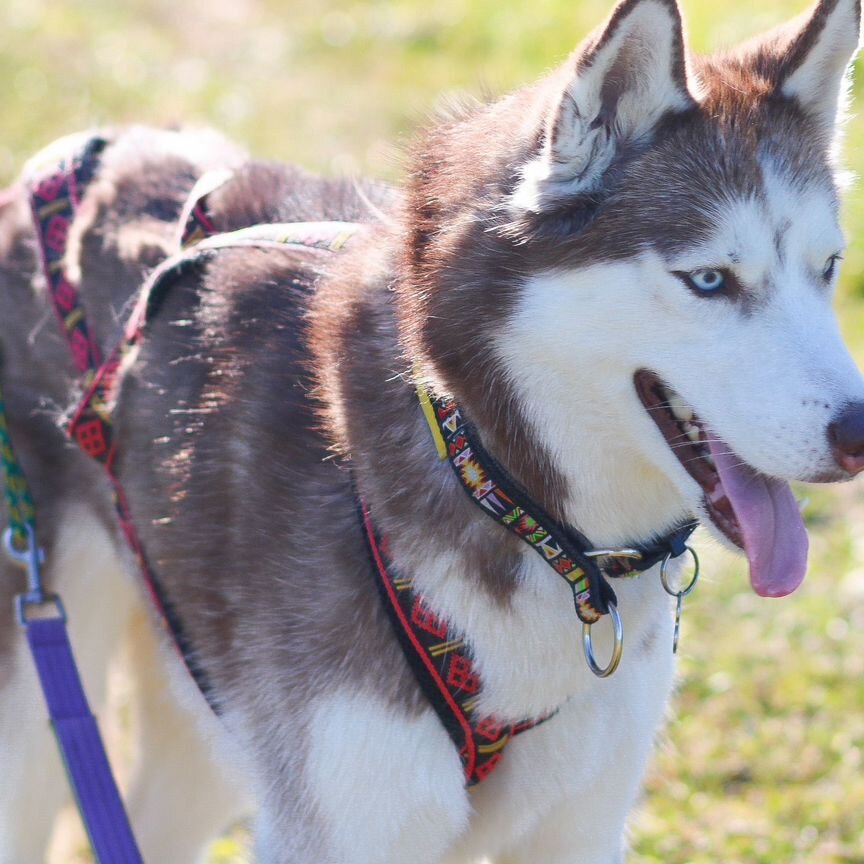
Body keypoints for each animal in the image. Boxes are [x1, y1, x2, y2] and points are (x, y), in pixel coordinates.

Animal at [1, 1, 864, 864]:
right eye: (710, 280)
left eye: (827, 268)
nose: (861, 433)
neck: (501, 489)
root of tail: (79, 150)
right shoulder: (338, 823)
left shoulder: (579, 826)